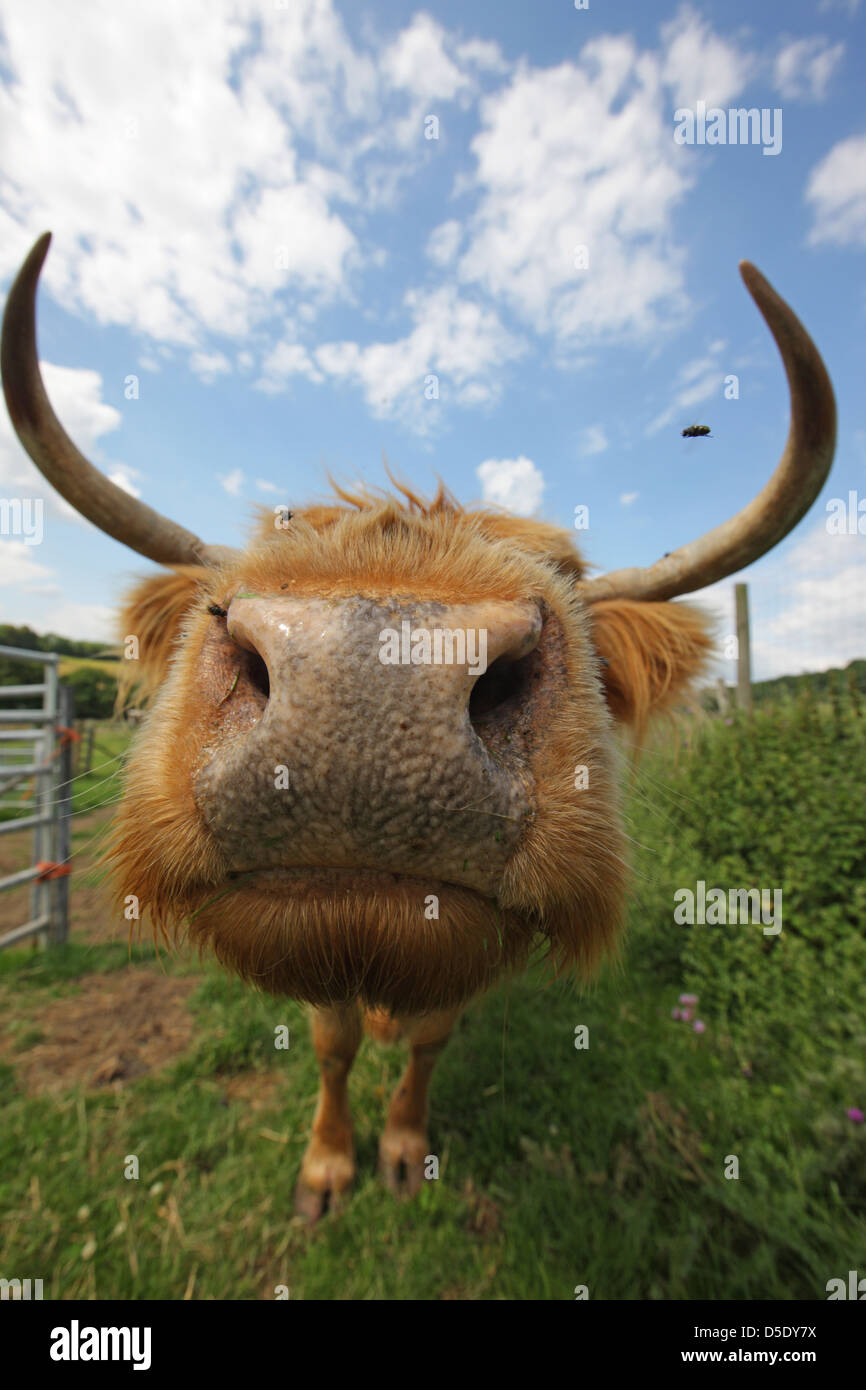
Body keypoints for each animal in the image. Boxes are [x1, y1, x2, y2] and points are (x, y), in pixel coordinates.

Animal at [1, 234, 836, 1220]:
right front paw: (327, 1165)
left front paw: (402, 1149)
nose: (371, 684)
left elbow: (430, 1041)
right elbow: (333, 1045)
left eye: (570, 571)